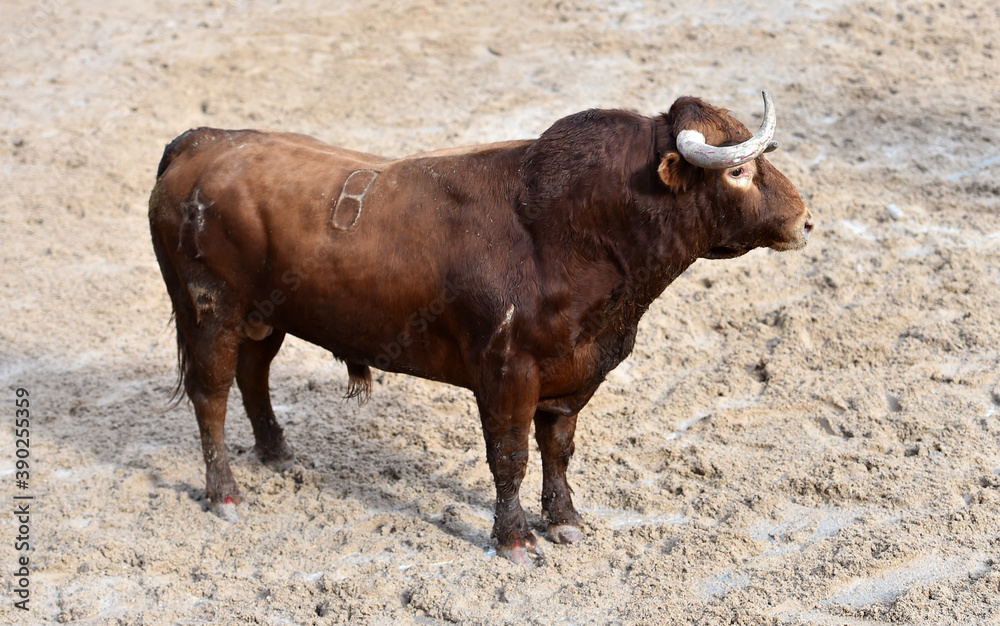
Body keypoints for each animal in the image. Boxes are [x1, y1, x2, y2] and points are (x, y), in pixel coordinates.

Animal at [149, 90, 812, 565]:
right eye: (737, 173)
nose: (806, 221)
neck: (569, 231)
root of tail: (200, 142)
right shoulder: (505, 376)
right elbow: (509, 458)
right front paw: (515, 538)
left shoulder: (573, 375)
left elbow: (559, 449)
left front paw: (565, 521)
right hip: (211, 311)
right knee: (211, 394)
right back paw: (225, 494)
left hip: (266, 318)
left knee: (253, 376)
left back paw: (279, 454)